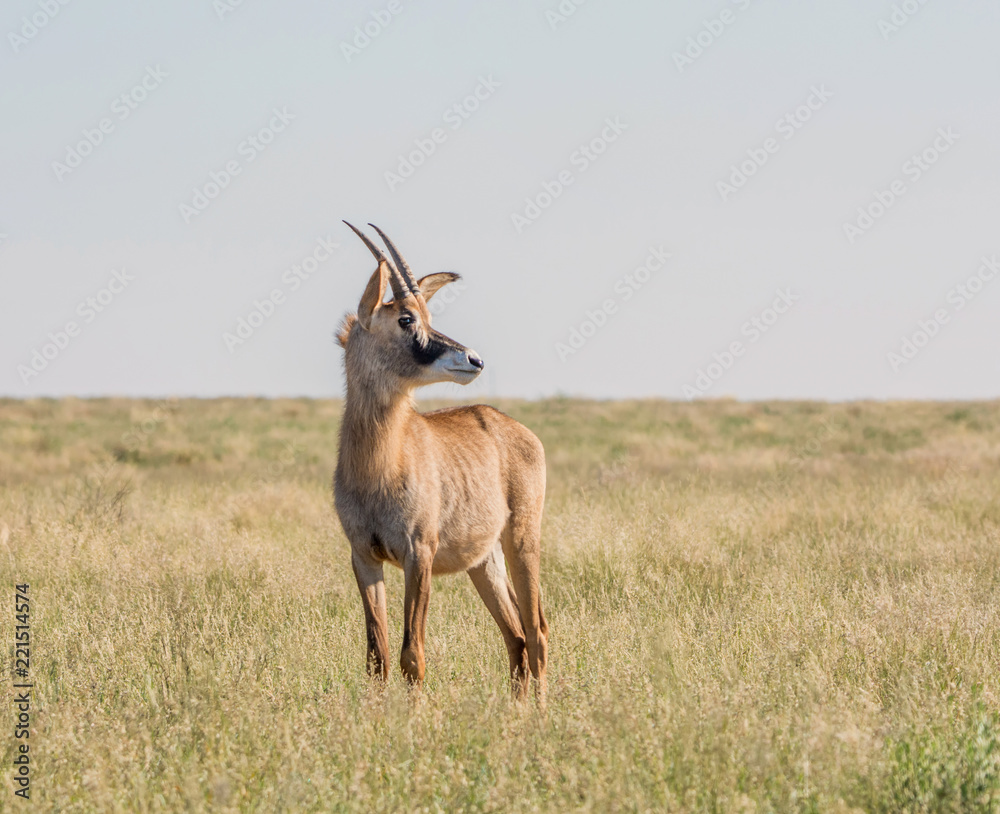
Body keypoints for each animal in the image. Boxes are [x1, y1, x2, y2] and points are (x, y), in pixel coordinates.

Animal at [332, 222, 548, 700]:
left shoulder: (420, 553)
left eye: (425, 316)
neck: (378, 464)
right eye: (406, 319)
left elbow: (412, 655)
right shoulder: (364, 556)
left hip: (522, 539)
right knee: (516, 636)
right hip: (485, 561)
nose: (474, 359)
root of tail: (515, 429)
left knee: (536, 631)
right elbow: (378, 657)